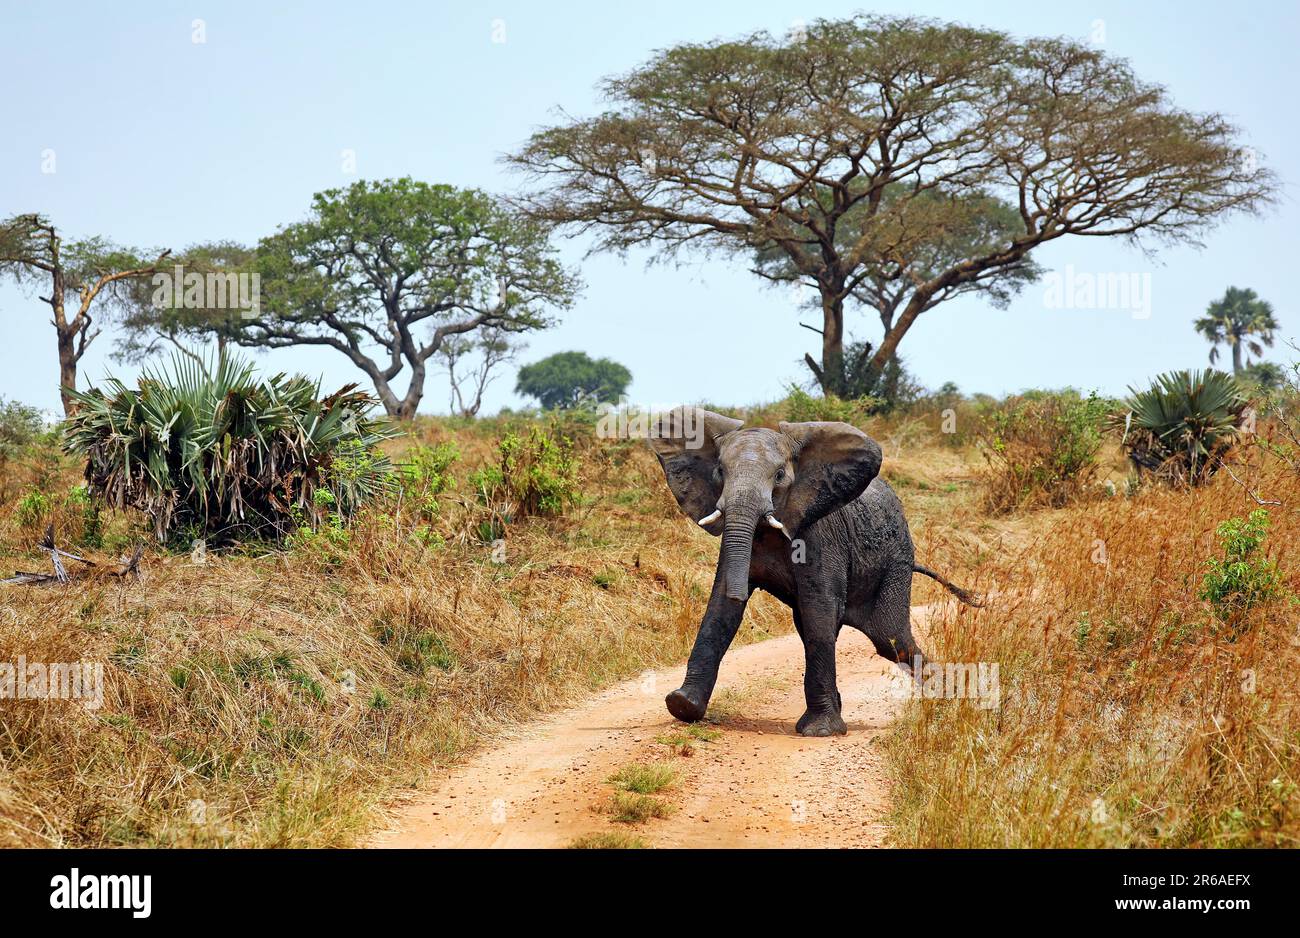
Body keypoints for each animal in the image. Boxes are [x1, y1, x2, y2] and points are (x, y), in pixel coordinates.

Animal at [649, 407, 980, 737]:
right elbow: (720, 611)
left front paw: (820, 731)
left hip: (896, 563)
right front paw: (682, 705)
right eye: (719, 472)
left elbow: (818, 612)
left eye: (779, 475)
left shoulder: (820, 535)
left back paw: (951, 698)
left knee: (891, 639)